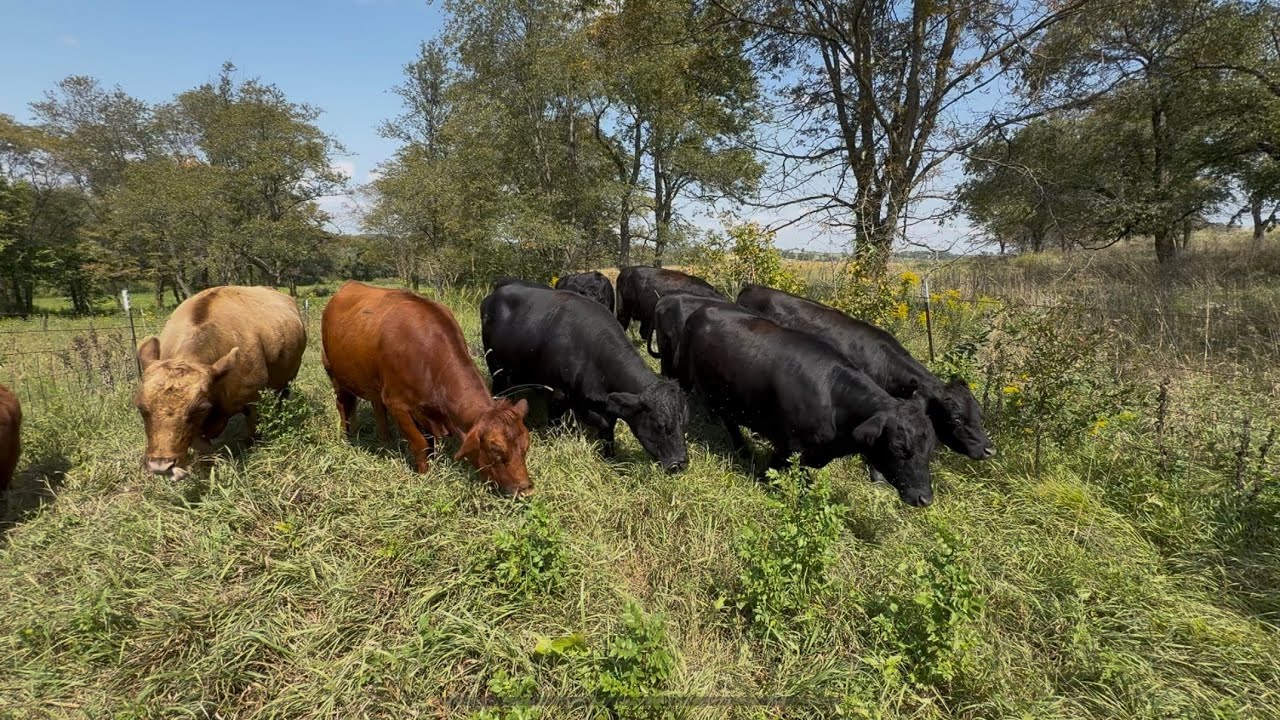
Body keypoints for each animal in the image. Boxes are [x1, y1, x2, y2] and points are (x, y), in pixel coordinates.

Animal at [134, 286, 307, 479]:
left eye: (199, 408)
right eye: (141, 407)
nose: (161, 466)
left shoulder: (254, 402)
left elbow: (252, 433)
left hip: (286, 381)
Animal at [321, 281, 532, 496]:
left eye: (526, 445)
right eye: (495, 449)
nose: (525, 488)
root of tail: (349, 285)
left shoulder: (425, 410)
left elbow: (429, 443)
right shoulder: (397, 404)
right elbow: (420, 443)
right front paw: (424, 476)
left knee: (377, 407)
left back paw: (386, 441)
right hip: (334, 374)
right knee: (344, 405)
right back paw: (348, 437)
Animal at [481, 283, 689, 473]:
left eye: (683, 422)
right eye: (661, 425)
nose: (680, 464)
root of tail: (495, 294)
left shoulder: (607, 408)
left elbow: (607, 433)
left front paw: (610, 458)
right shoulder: (558, 395)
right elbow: (555, 425)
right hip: (495, 367)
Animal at [683, 303, 938, 506]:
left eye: (930, 449)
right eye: (899, 448)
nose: (925, 498)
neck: (834, 401)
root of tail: (704, 309)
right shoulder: (789, 446)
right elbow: (772, 470)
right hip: (713, 392)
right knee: (728, 421)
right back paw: (742, 449)